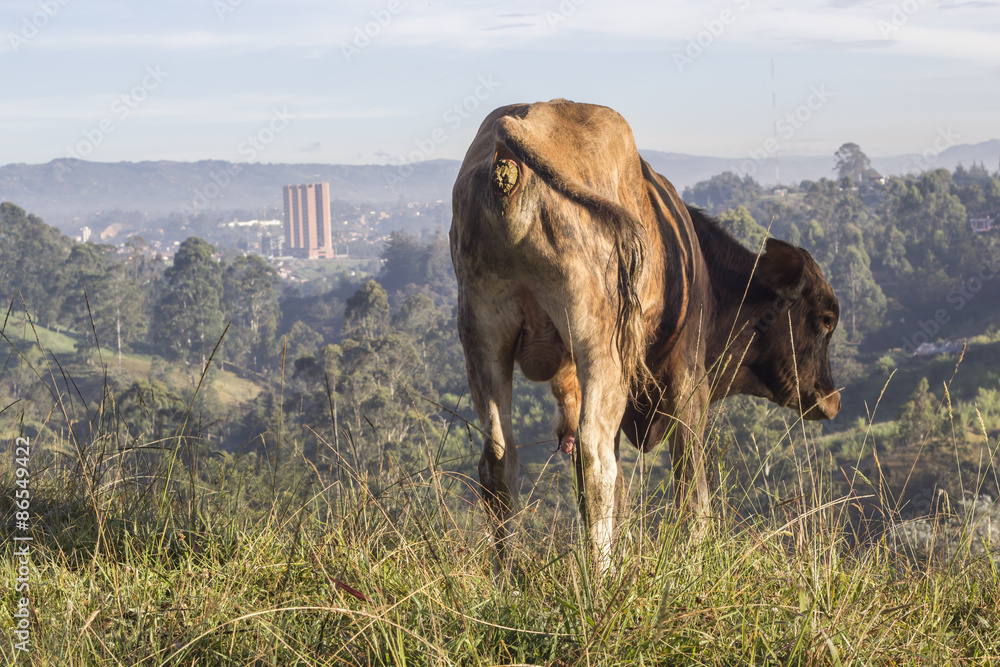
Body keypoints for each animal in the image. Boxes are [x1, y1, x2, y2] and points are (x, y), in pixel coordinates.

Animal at [449, 99, 839, 575]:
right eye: (825, 319)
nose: (830, 398)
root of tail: (525, 125)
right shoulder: (689, 383)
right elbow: (692, 489)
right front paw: (693, 560)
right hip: (601, 345)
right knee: (593, 457)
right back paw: (601, 578)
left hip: (482, 333)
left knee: (499, 459)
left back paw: (506, 575)